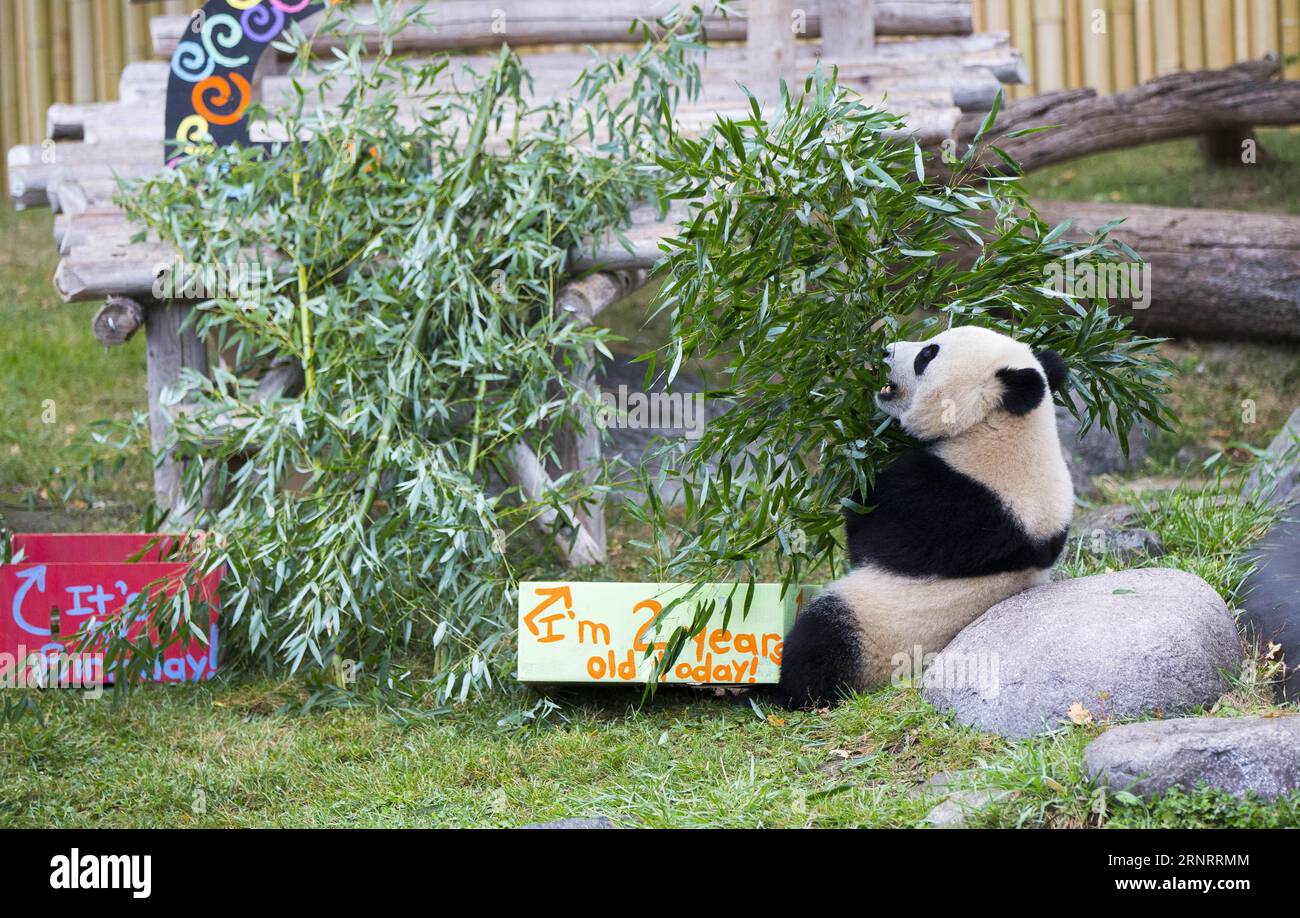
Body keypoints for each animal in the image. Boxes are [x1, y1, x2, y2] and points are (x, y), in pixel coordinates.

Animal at [771, 325, 1074, 709]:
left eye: (927, 355)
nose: (884, 351)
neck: (1000, 429)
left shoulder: (961, 503)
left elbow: (874, 533)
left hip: (879, 628)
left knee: (822, 644)